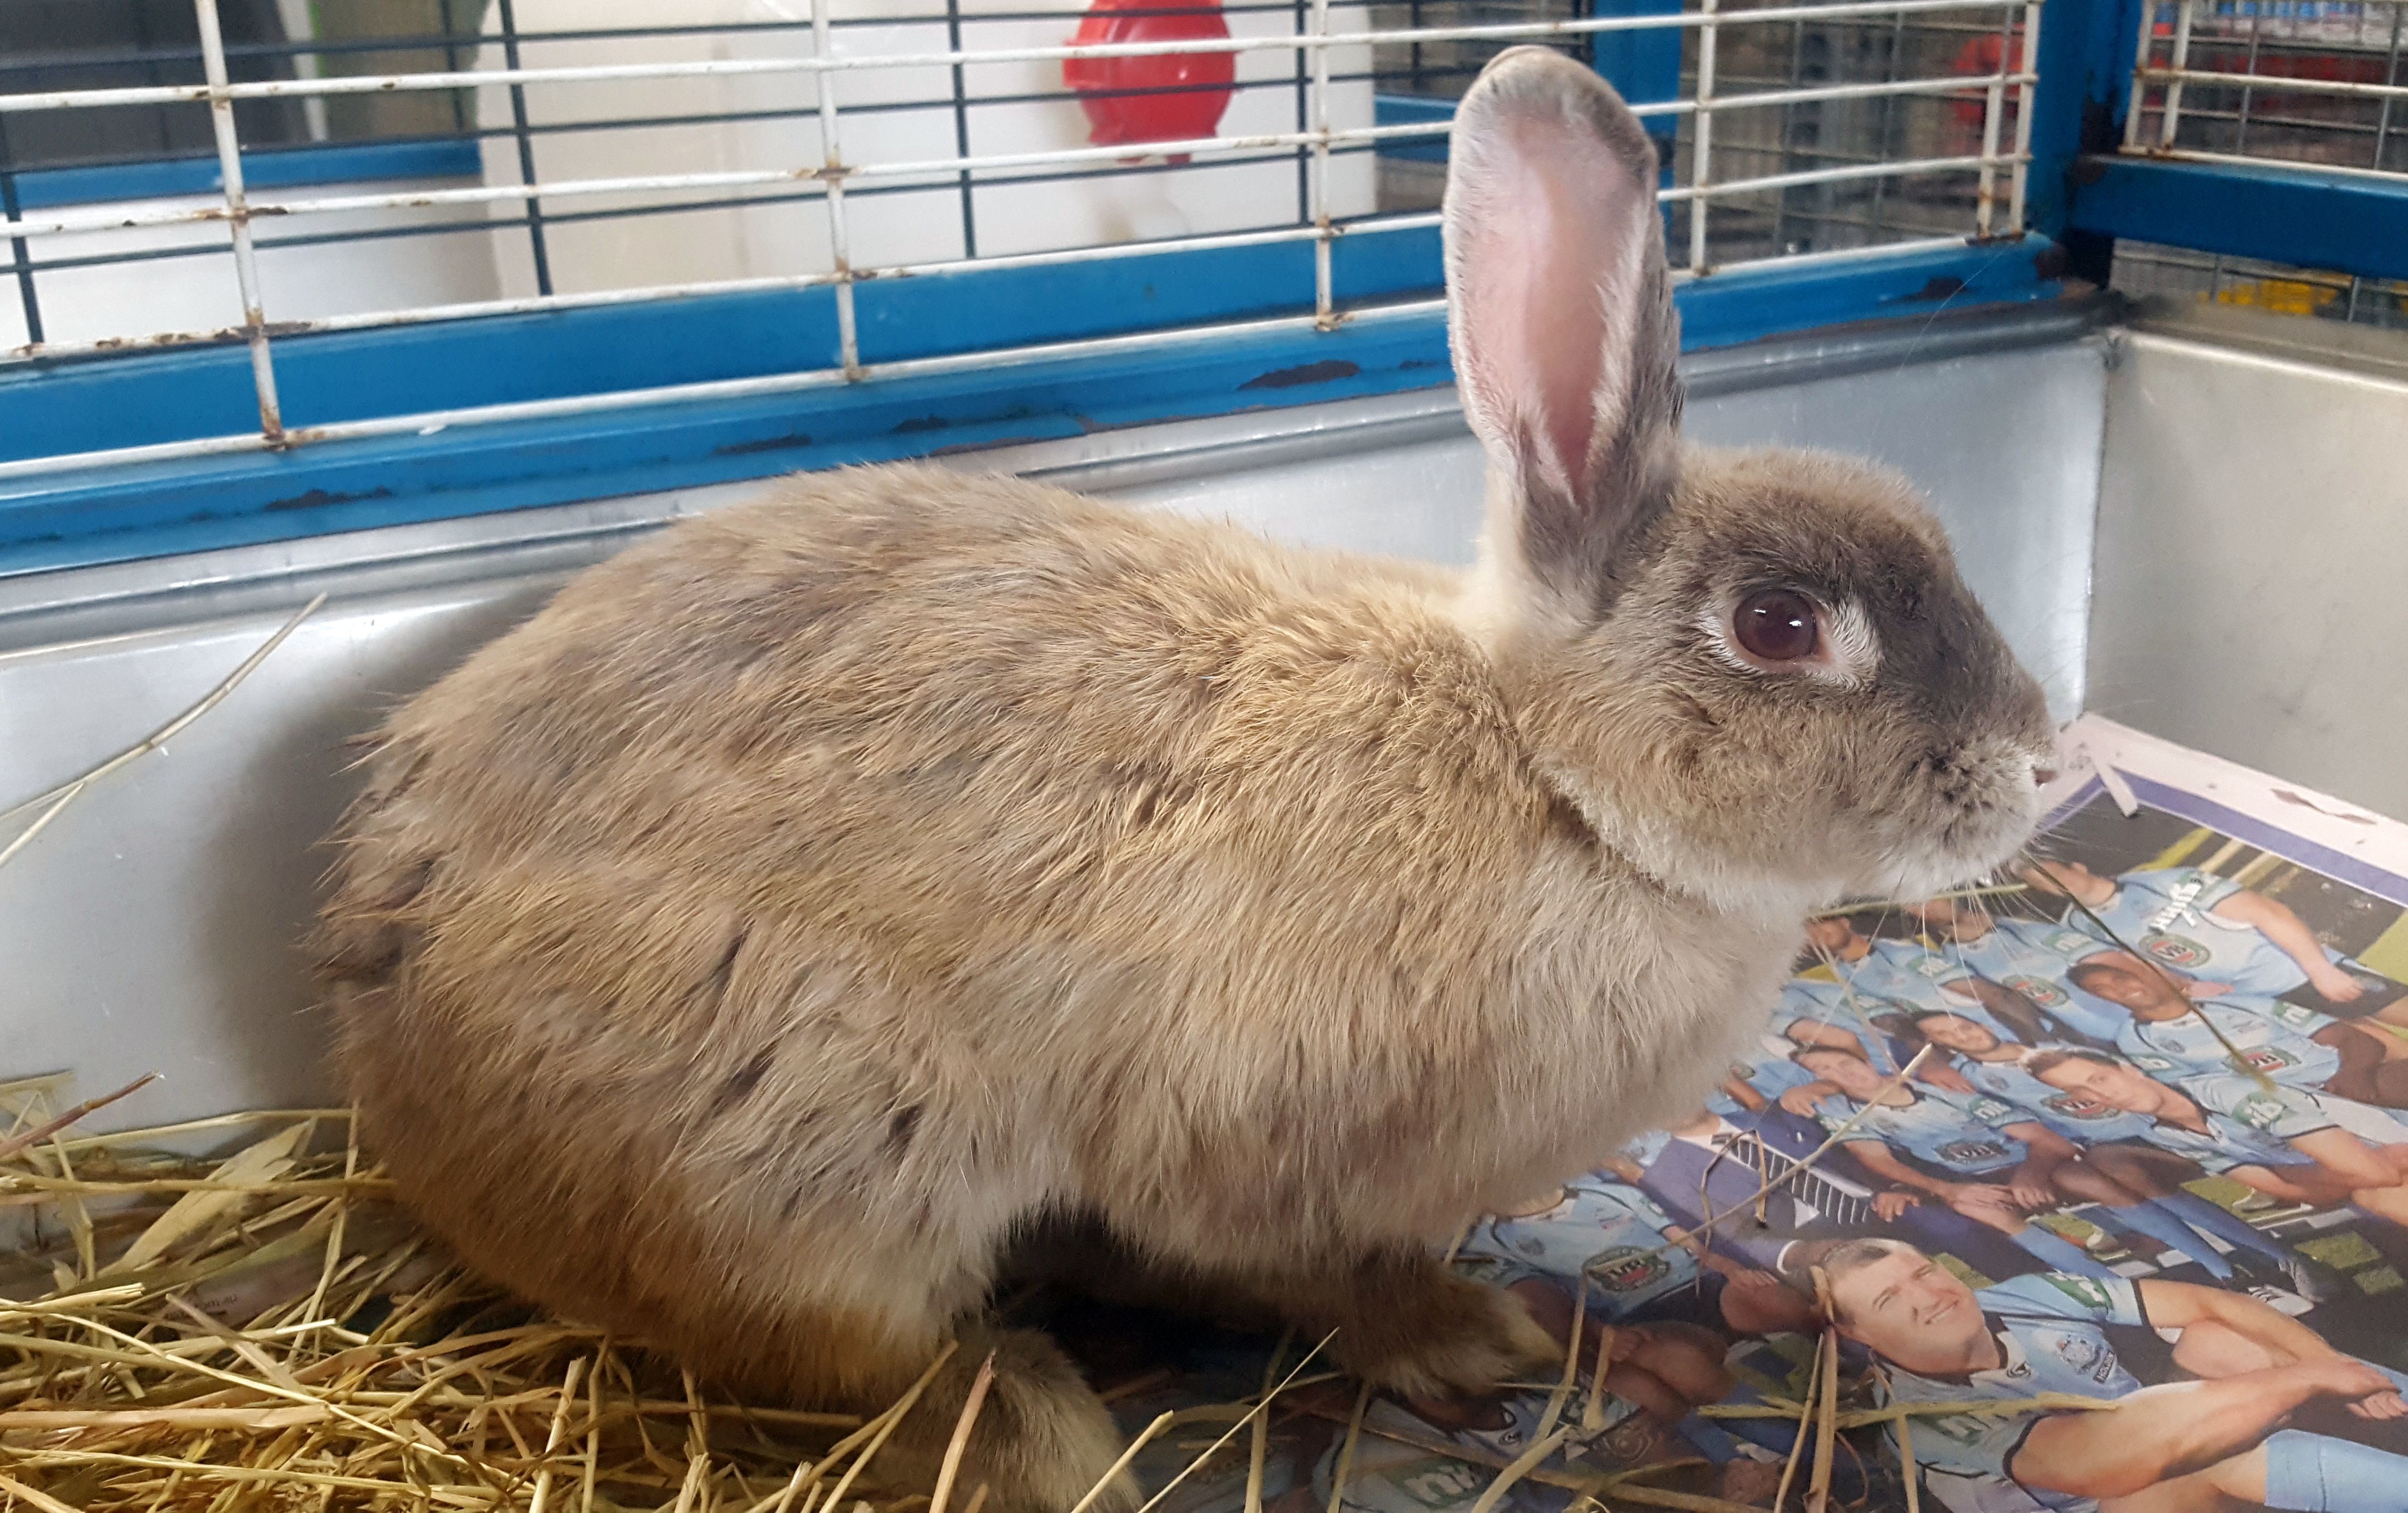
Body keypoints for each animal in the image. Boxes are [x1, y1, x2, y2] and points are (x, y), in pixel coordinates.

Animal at [312, 45, 2055, 1513]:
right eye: (1780, 627)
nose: (2042, 762)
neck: (1552, 775)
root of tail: (377, 1022)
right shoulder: (1260, 1157)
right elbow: (1318, 1268)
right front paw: (1465, 1339)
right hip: (816, 1156)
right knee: (858, 1368)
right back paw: (1046, 1437)